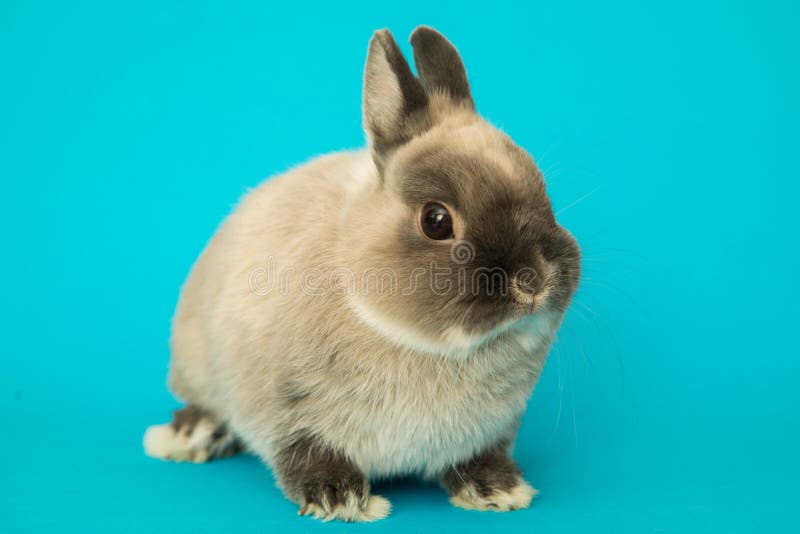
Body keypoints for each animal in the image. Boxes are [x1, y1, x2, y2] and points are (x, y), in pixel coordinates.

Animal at [143, 25, 581, 522]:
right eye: (436, 220)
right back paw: (187, 435)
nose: (535, 280)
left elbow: (476, 458)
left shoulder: (492, 429)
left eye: (542, 191)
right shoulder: (285, 413)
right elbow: (303, 454)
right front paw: (339, 498)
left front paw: (498, 489)